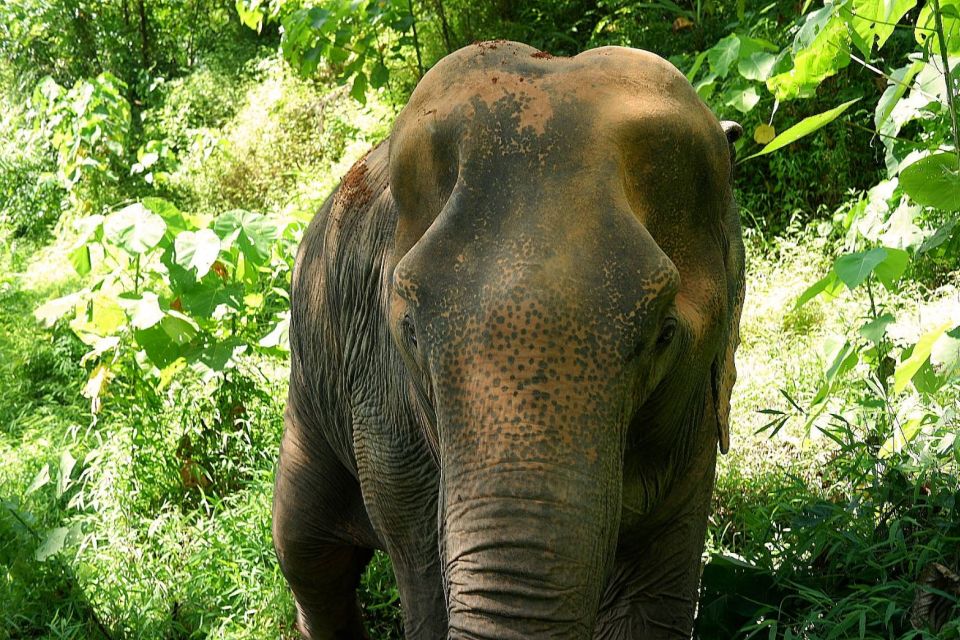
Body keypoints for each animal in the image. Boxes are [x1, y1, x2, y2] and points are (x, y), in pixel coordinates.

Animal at [272, 40, 745, 640]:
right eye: (410, 333)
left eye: (663, 334)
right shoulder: (384, 402)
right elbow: (425, 582)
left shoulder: (694, 426)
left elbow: (649, 601)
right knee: (307, 551)